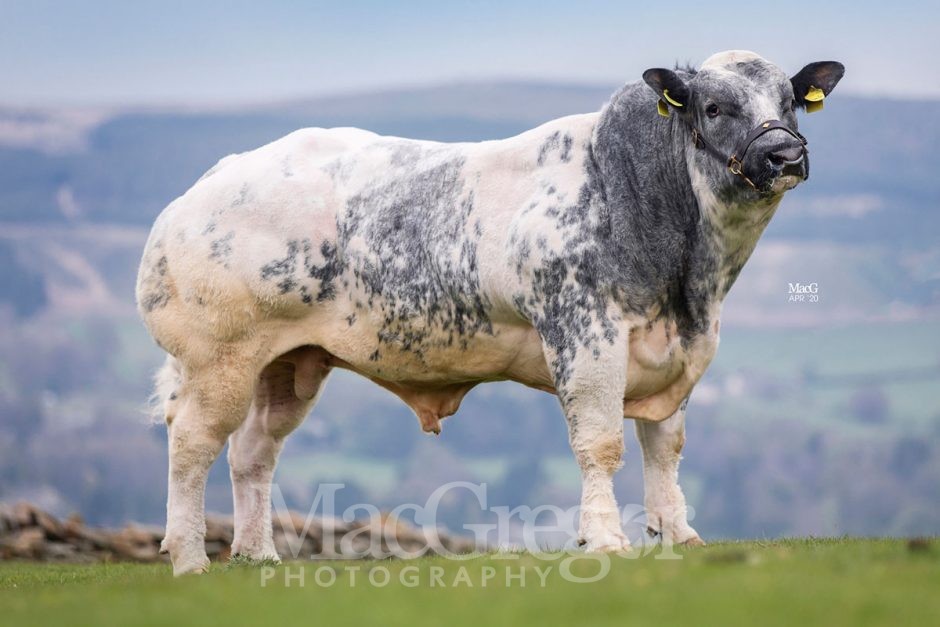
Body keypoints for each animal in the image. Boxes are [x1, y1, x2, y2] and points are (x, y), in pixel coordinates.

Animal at [137, 50, 844, 574]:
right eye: (715, 107)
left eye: (789, 102)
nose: (785, 155)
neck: (689, 284)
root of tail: (208, 184)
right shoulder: (584, 334)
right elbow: (602, 442)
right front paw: (605, 540)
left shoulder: (678, 353)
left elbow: (665, 447)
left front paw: (678, 534)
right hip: (218, 359)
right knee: (192, 444)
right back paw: (190, 557)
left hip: (287, 364)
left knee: (253, 451)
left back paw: (257, 554)